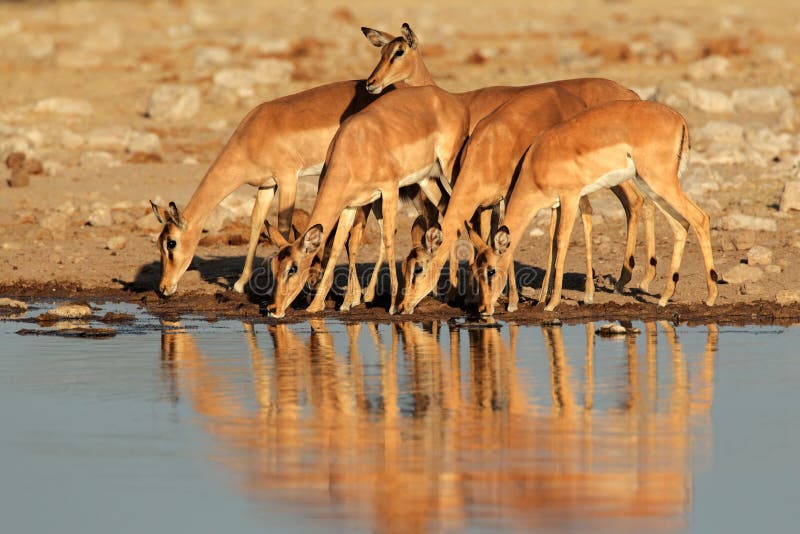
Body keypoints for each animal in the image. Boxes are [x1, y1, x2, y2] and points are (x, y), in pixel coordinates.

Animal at [267, 85, 469, 318]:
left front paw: (392, 305)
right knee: (447, 207)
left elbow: (389, 239)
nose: (273, 309)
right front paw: (318, 305)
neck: (354, 149)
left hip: (450, 169)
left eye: (292, 268)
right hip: (426, 179)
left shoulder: (389, 189)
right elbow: (338, 245)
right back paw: (447, 294)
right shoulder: (350, 205)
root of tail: (451, 98)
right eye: (274, 266)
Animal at [470, 100, 718, 315]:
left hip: (661, 183)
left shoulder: (570, 197)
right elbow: (552, 243)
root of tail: (678, 118)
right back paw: (665, 298)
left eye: (491, 270)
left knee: (700, 217)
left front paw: (552, 303)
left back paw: (710, 296)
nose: (483, 309)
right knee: (681, 224)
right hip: (651, 187)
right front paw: (544, 299)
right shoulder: (557, 205)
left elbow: (561, 242)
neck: (536, 163)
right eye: (474, 270)